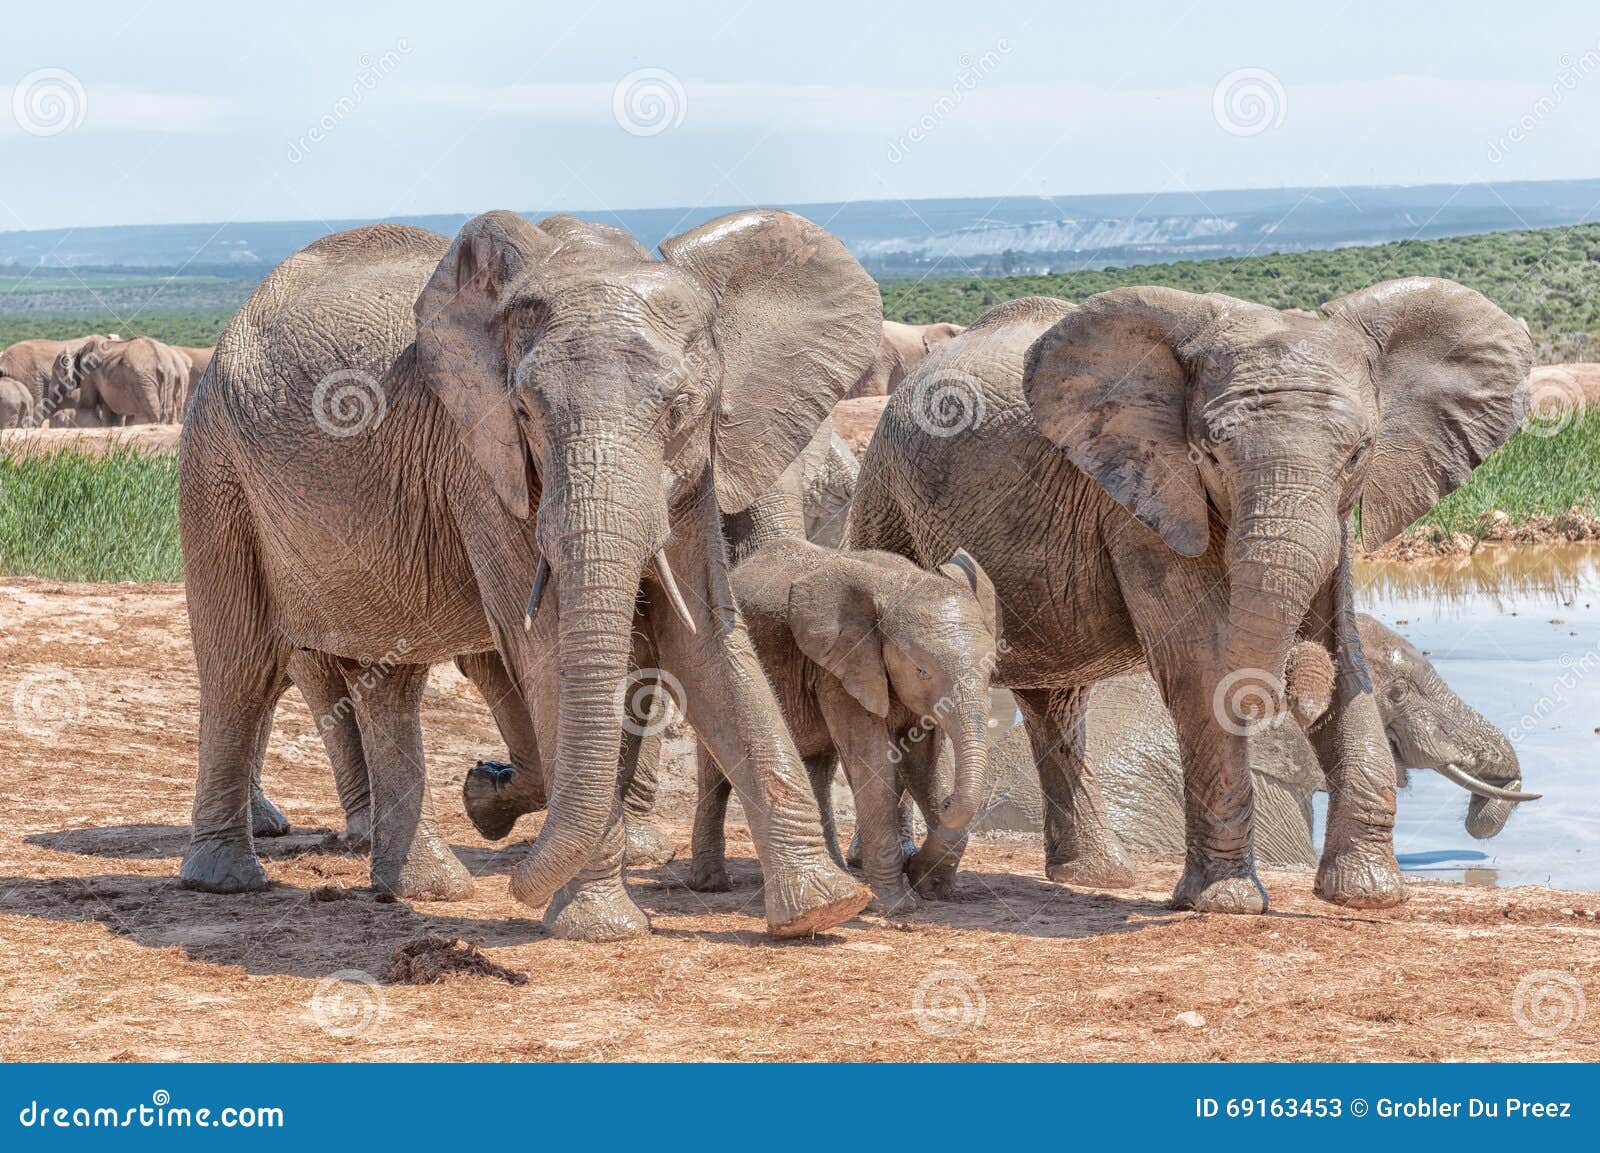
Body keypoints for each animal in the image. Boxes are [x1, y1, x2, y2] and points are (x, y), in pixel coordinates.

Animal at [53, 335, 190, 425]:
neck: (78, 349)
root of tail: (164, 362)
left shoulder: (88, 373)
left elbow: (87, 407)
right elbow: (112, 412)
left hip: (144, 381)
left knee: (151, 412)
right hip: (176, 378)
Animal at [179, 209, 880, 942]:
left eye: (680, 410)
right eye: (524, 414)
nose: (516, 888)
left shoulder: (695, 472)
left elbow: (706, 642)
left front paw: (825, 908)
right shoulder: (482, 462)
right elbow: (545, 645)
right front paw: (597, 925)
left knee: (387, 676)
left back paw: (425, 886)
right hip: (216, 467)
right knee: (240, 666)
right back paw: (227, 879)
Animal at [688, 538, 999, 914]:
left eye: (991, 669)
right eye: (921, 670)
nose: (950, 802)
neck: (900, 583)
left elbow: (924, 766)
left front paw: (931, 887)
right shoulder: (840, 668)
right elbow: (873, 765)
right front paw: (897, 906)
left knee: (819, 766)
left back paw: (840, 879)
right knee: (716, 771)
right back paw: (710, 884)